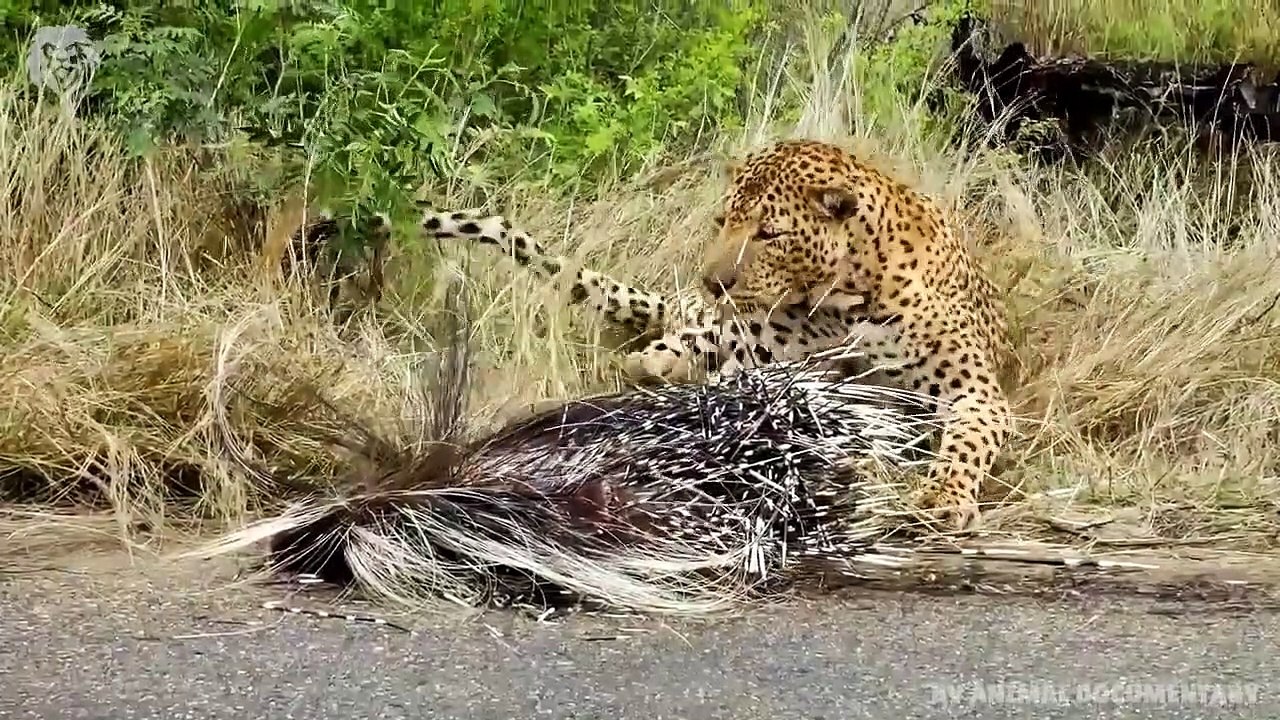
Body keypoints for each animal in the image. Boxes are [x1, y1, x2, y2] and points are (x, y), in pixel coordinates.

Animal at [420, 138, 1012, 532]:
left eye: (769, 234)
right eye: (722, 222)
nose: (712, 281)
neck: (847, 294)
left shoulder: (975, 392)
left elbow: (965, 443)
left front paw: (943, 496)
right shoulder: (781, 363)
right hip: (727, 340)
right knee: (682, 351)